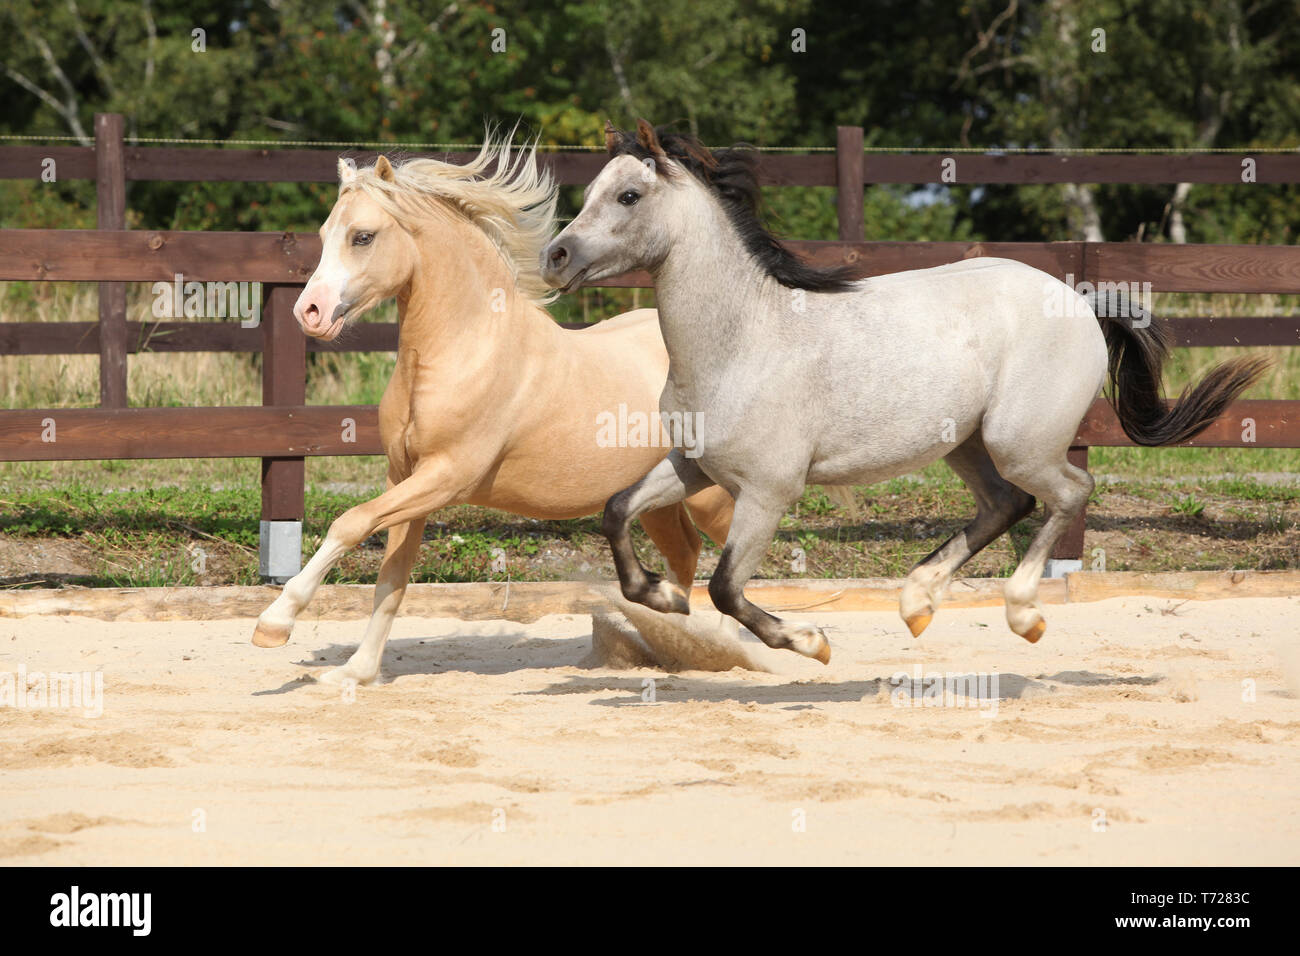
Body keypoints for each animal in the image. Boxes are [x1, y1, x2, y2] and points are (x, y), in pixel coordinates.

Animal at [251, 130, 735, 684]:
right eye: (326, 232)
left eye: (363, 237)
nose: (308, 312)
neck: (464, 349)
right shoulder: (405, 478)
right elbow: (392, 578)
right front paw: (357, 672)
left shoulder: (445, 476)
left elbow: (349, 523)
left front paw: (275, 622)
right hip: (656, 495)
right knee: (685, 552)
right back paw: (677, 644)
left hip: (714, 494)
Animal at [539, 120, 1268, 664]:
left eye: (629, 196)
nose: (555, 257)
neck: (744, 339)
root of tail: (1080, 300)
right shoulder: (694, 466)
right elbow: (616, 511)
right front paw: (662, 596)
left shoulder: (768, 492)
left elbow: (725, 588)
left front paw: (809, 641)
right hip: (964, 444)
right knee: (1008, 504)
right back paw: (916, 603)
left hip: (1018, 441)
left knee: (1067, 493)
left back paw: (1022, 613)